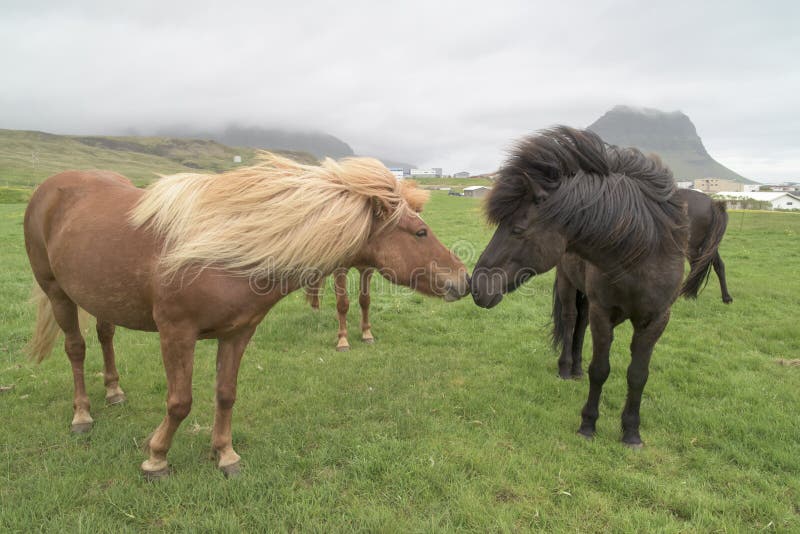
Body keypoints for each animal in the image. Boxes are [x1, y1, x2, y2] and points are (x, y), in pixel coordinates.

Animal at [304, 181, 428, 351]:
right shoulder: (340, 269)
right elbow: (342, 303)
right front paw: (343, 340)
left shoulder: (367, 268)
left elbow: (365, 300)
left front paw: (366, 334)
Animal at [471, 126, 688, 447]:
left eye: (518, 229)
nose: (476, 286)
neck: (640, 253)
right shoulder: (602, 312)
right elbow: (600, 370)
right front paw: (588, 424)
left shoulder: (656, 320)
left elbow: (638, 375)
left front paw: (631, 432)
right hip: (568, 284)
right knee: (572, 319)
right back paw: (566, 368)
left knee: (580, 325)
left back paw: (575, 369)